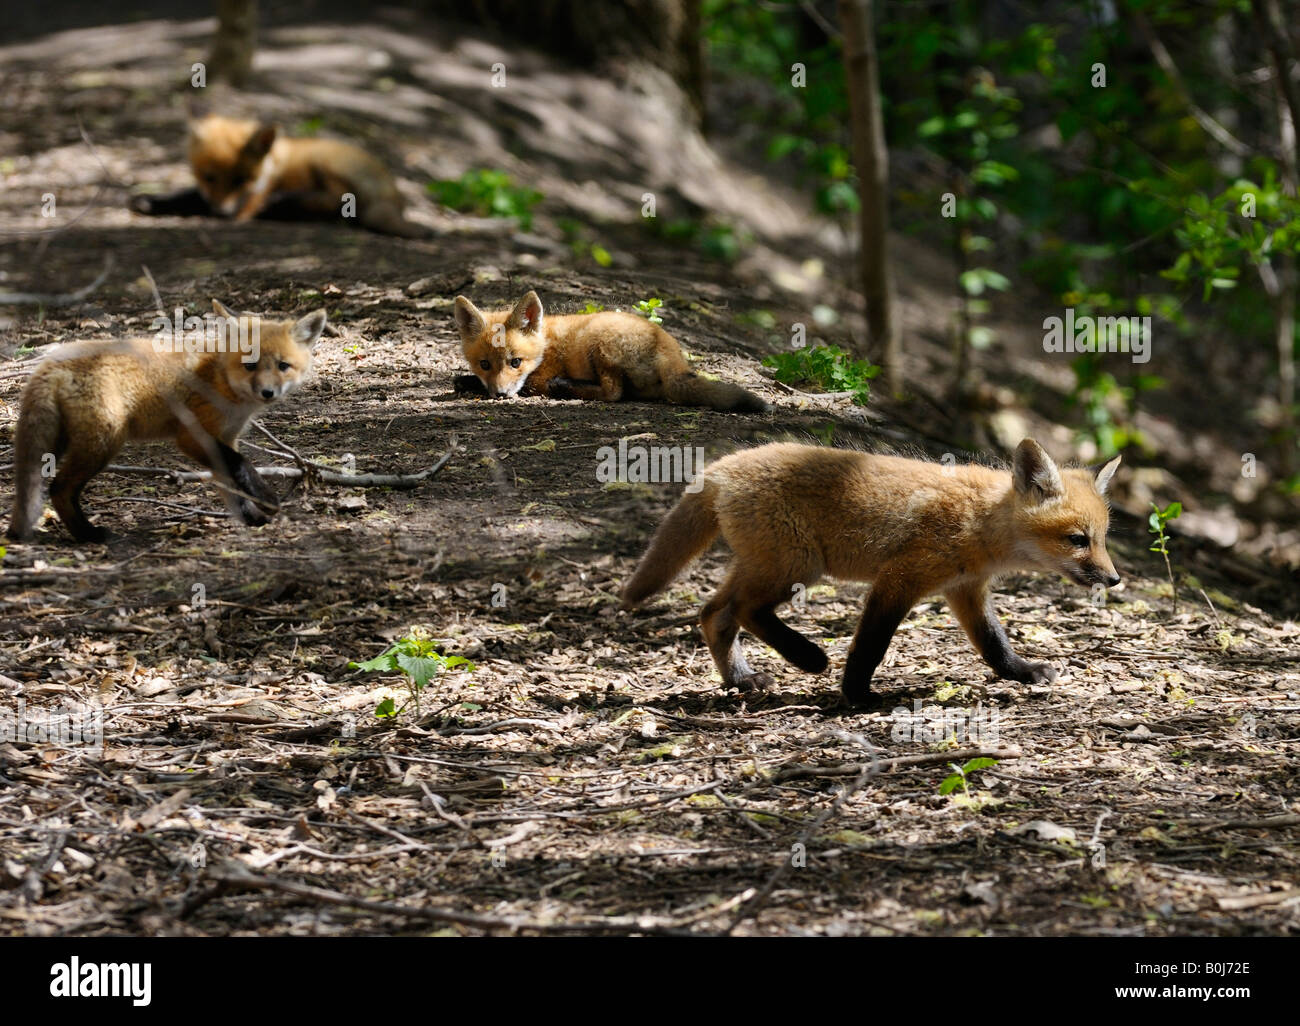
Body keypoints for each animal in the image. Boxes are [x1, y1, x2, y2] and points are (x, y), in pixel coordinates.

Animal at [6, 300, 326, 544]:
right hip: (104, 441)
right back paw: (89, 535)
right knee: (59, 489)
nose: (268, 392)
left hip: (63, 442)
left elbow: (233, 486)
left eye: (283, 366)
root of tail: (49, 363)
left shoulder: (225, 438)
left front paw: (251, 518)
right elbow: (242, 466)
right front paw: (266, 500)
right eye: (250, 365)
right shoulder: (192, 437)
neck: (220, 378)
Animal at [130, 114, 427, 238]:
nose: (223, 214)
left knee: (339, 202)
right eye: (209, 177)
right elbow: (190, 196)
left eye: (241, 180)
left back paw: (281, 205)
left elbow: (202, 204)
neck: (271, 166)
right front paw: (153, 201)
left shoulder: (248, 202)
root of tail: (395, 195)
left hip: (324, 161)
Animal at [451, 291, 768, 413]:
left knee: (613, 393)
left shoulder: (537, 378)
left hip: (599, 341)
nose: (500, 395)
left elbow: (529, 385)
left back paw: (565, 387)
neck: (546, 342)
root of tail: (670, 351)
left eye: (515, 361)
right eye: (484, 364)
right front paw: (468, 382)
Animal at [621, 439, 1123, 704]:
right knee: (743, 610)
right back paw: (807, 657)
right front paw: (858, 697)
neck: (980, 522)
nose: (1115, 580)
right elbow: (870, 646)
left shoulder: (965, 589)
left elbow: (994, 644)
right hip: (797, 567)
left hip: (767, 565)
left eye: (1101, 538)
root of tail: (723, 465)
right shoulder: (898, 580)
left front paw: (1022, 672)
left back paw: (742, 679)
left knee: (713, 614)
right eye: (1077, 539)